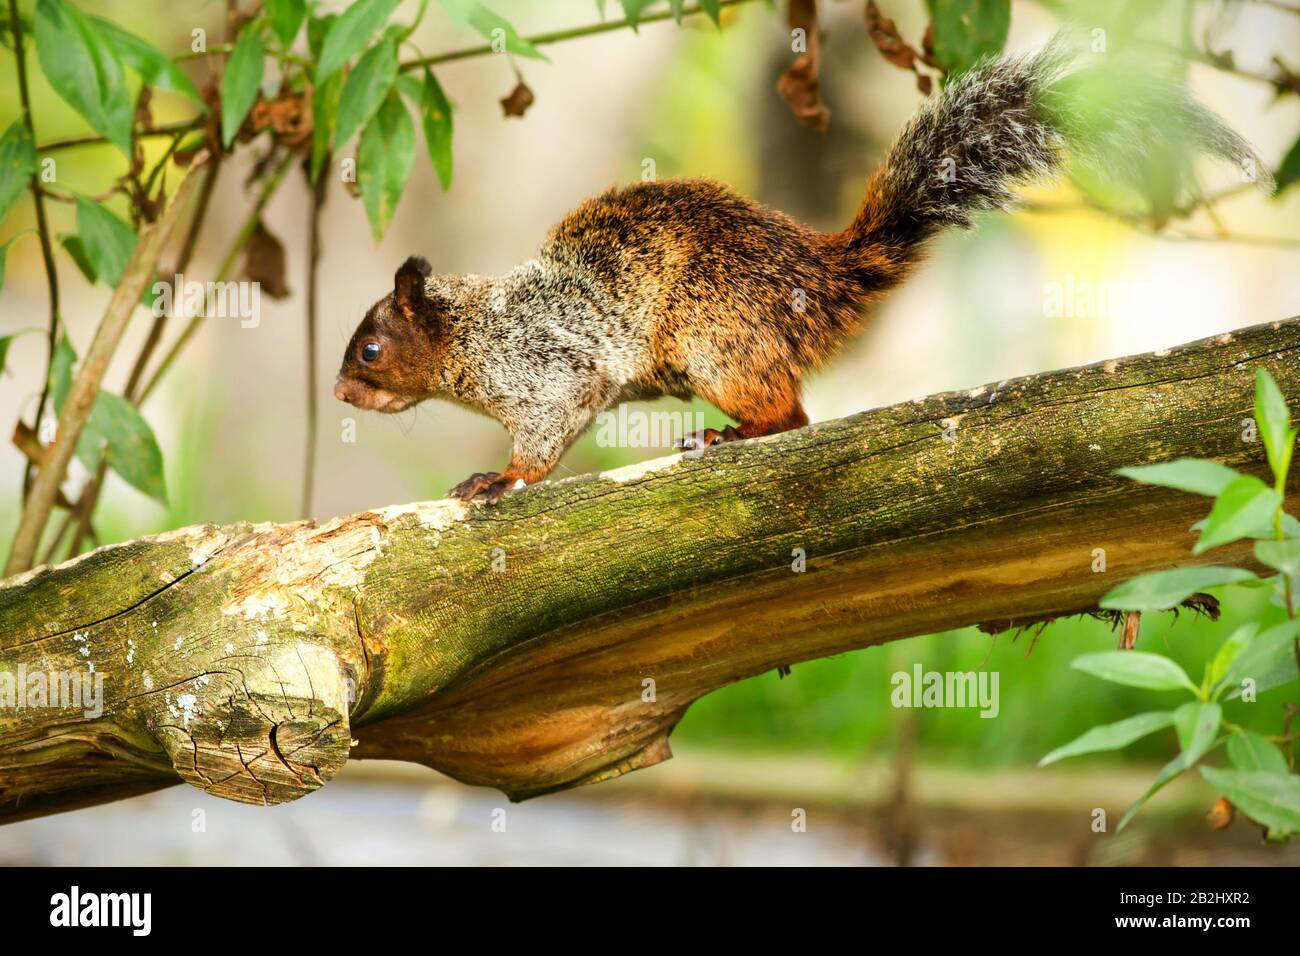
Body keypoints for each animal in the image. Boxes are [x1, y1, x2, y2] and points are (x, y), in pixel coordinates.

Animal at [335, 36, 1269, 504]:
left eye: (371, 349)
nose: (342, 394)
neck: (476, 331)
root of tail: (820, 281)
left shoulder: (545, 370)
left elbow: (544, 436)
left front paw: (502, 479)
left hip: (715, 338)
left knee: (790, 414)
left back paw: (728, 435)